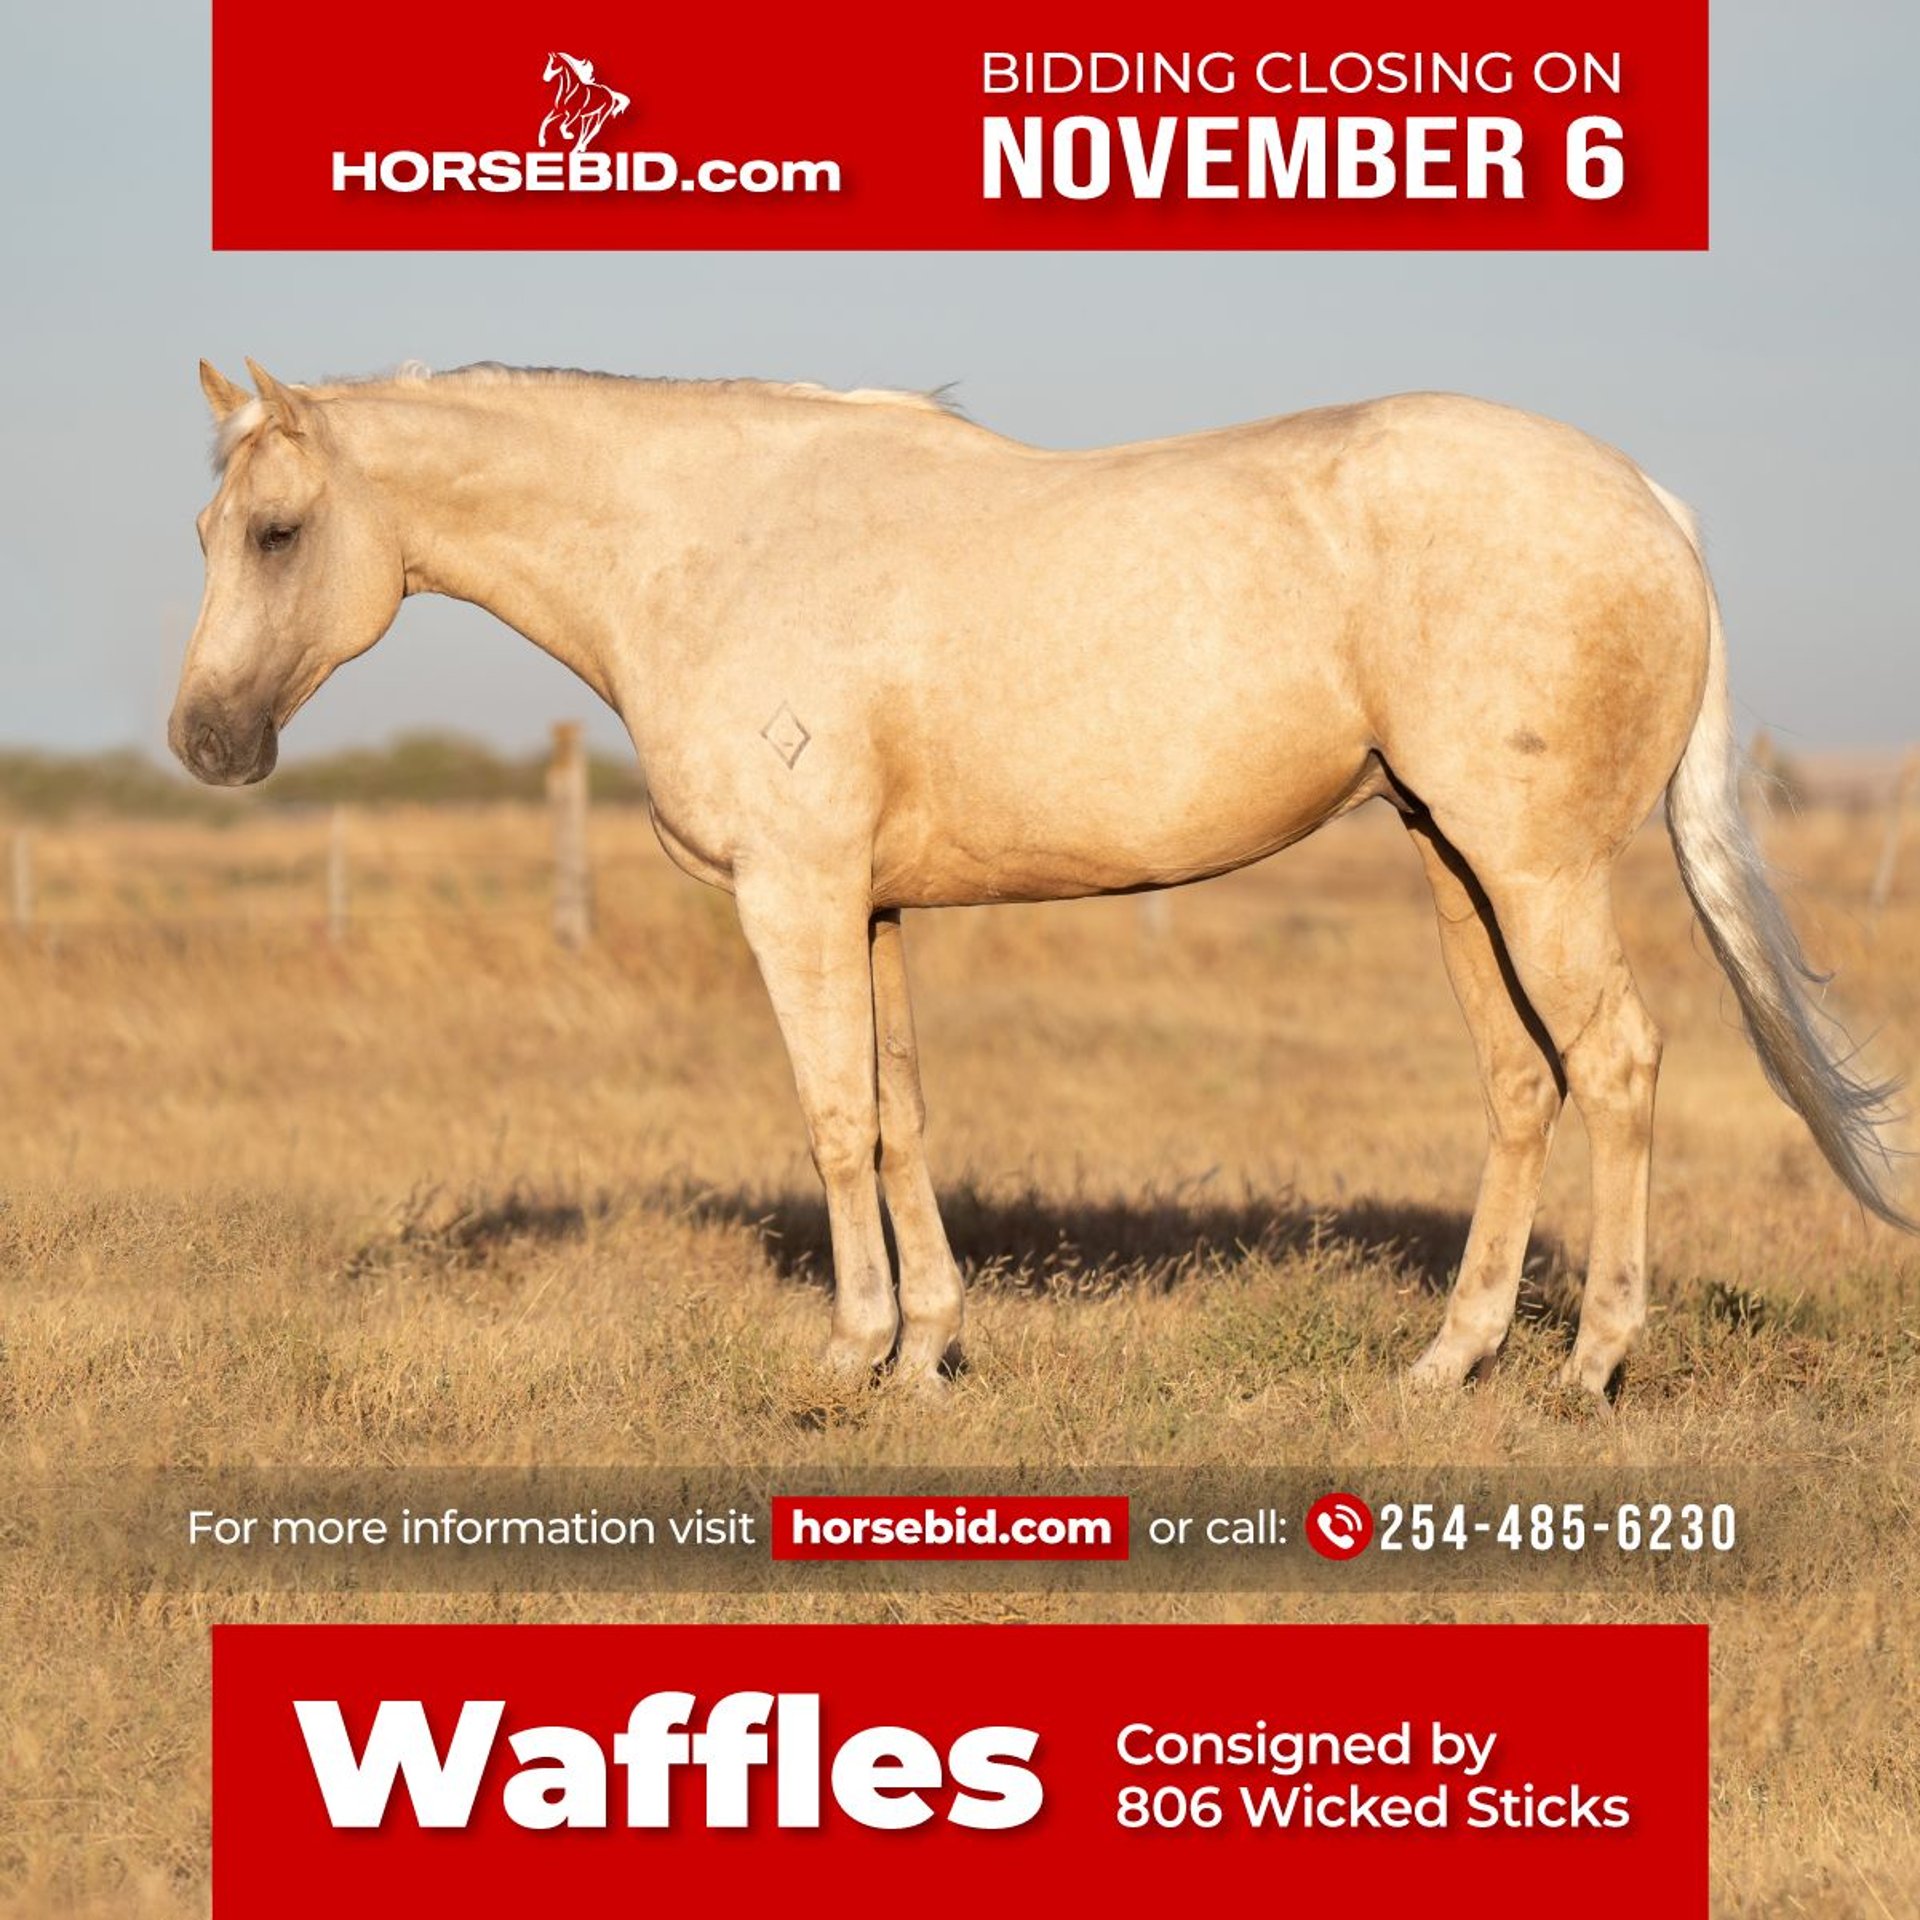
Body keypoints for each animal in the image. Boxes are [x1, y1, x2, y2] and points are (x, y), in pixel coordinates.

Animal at [175, 359, 1910, 1400]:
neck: (715, 545)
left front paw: (851, 1354)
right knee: (1521, 1085)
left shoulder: (794, 899)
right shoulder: (868, 908)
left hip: (1531, 868)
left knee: (1613, 1064)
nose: (203, 739)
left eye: (276, 533)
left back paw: (1591, 1366)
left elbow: (834, 1120)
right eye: (207, 529)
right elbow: (900, 1115)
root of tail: (1646, 502)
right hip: (1453, 861)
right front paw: (930, 1350)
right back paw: (1446, 1362)